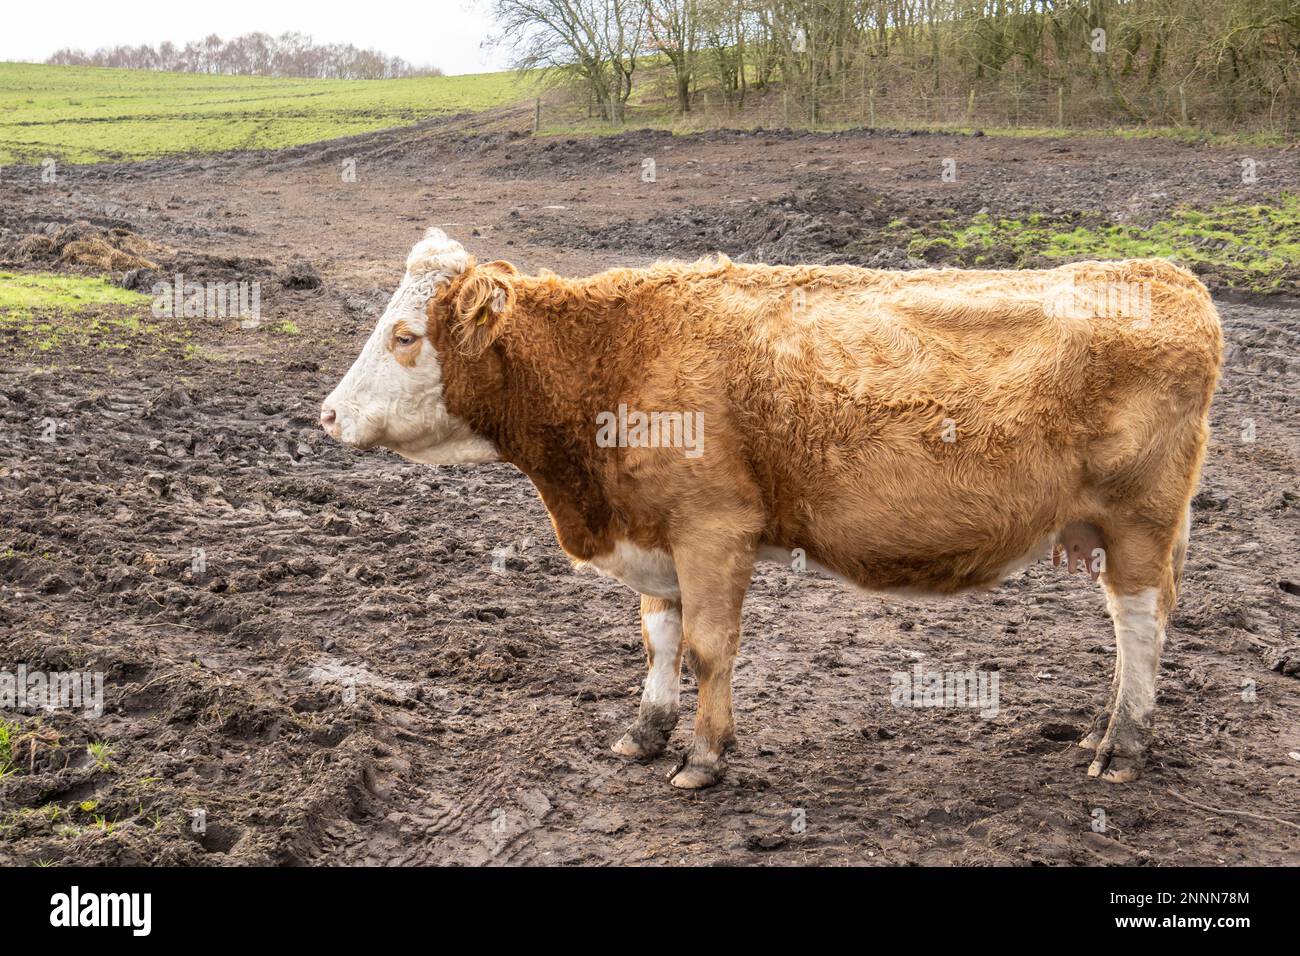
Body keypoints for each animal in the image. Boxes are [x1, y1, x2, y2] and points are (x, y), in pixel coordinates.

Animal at [321, 228, 1222, 790]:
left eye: (405, 335)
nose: (326, 415)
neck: (615, 359)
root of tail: (1169, 275)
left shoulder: (713, 530)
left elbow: (709, 647)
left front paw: (704, 757)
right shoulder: (654, 536)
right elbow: (659, 640)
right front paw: (646, 733)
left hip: (1138, 523)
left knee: (1140, 625)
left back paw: (1123, 745)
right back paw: (1104, 730)